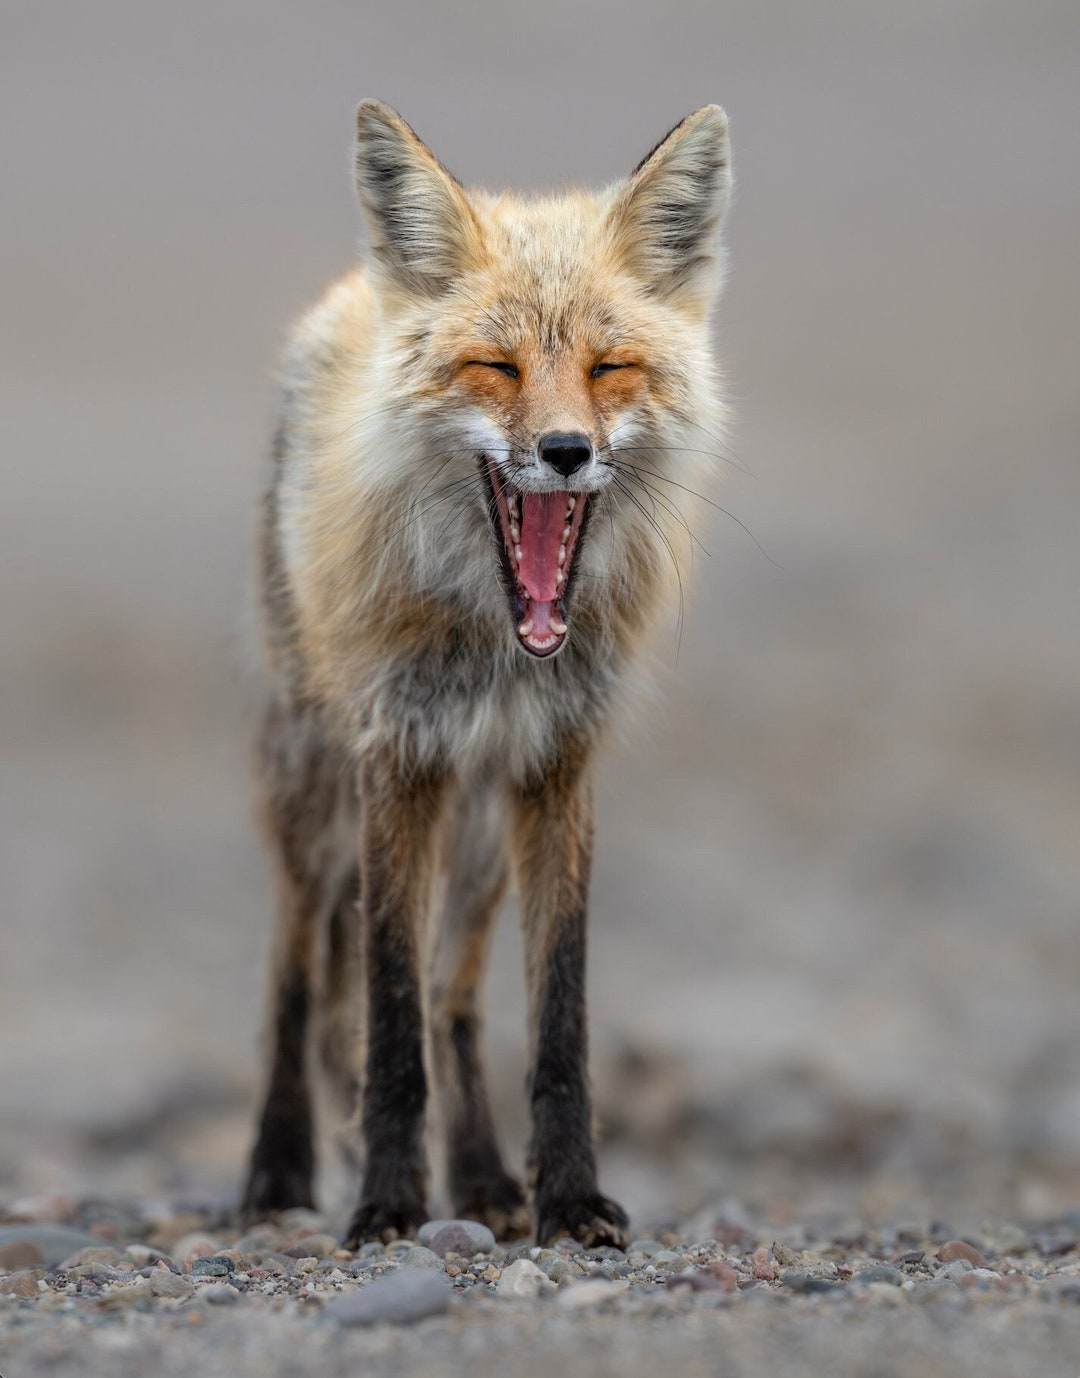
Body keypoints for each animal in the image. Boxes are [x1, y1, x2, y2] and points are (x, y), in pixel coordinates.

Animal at [241, 99, 732, 1248]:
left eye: (608, 367)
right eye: (497, 367)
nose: (563, 451)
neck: (495, 651)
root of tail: (352, 288)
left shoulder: (555, 771)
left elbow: (554, 1019)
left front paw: (569, 1197)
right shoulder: (396, 762)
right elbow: (384, 1014)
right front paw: (384, 1201)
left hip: (477, 841)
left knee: (455, 1000)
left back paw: (479, 1178)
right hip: (313, 789)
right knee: (296, 967)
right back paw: (278, 1168)